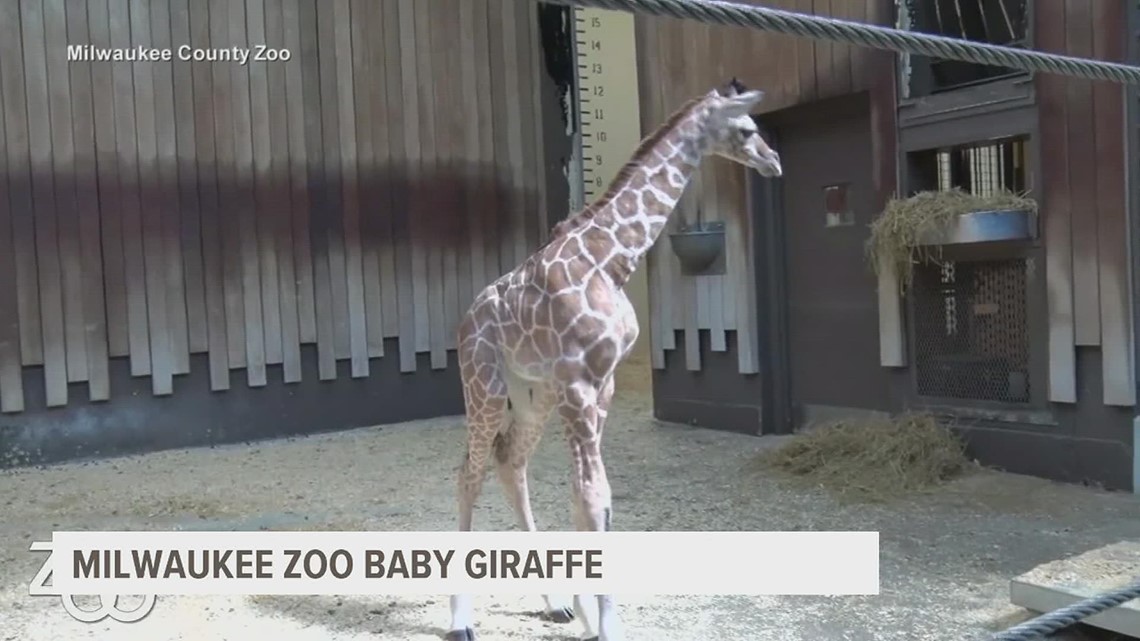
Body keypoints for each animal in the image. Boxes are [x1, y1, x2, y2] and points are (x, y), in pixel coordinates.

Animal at [446, 79, 782, 641]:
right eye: (746, 128)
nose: (772, 161)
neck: (612, 258)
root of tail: (465, 320)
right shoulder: (578, 383)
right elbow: (593, 494)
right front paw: (603, 621)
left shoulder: (598, 385)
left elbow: (589, 498)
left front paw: (588, 612)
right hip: (485, 387)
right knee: (469, 471)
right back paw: (459, 617)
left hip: (532, 396)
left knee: (509, 463)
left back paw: (556, 602)